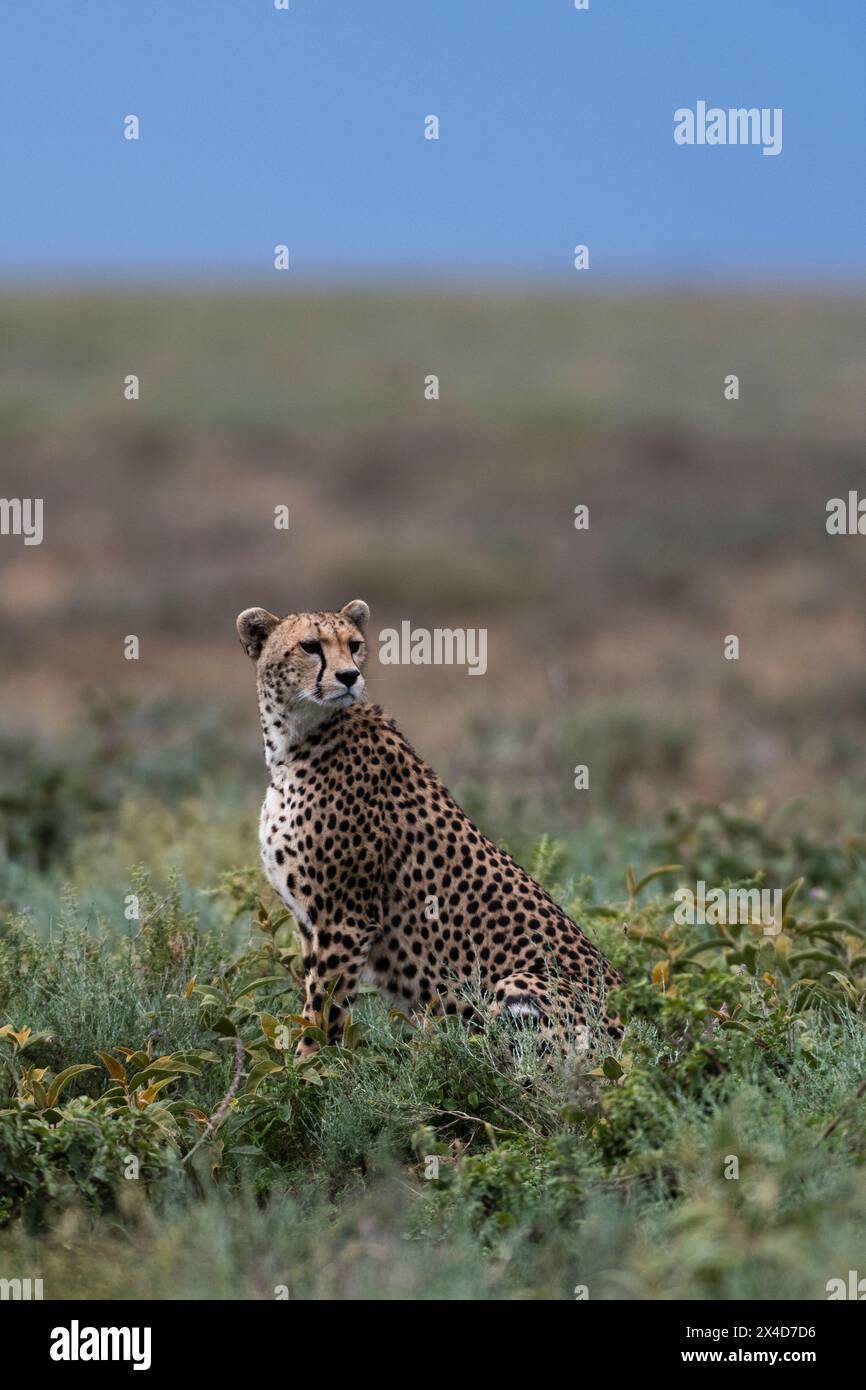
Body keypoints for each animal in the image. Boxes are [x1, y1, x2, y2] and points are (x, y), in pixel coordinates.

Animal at [237, 599, 623, 1058]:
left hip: (521, 984)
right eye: (310, 646)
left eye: (354, 645)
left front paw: (309, 1066)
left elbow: (322, 1009)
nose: (349, 676)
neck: (293, 741)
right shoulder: (312, 923)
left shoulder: (346, 919)